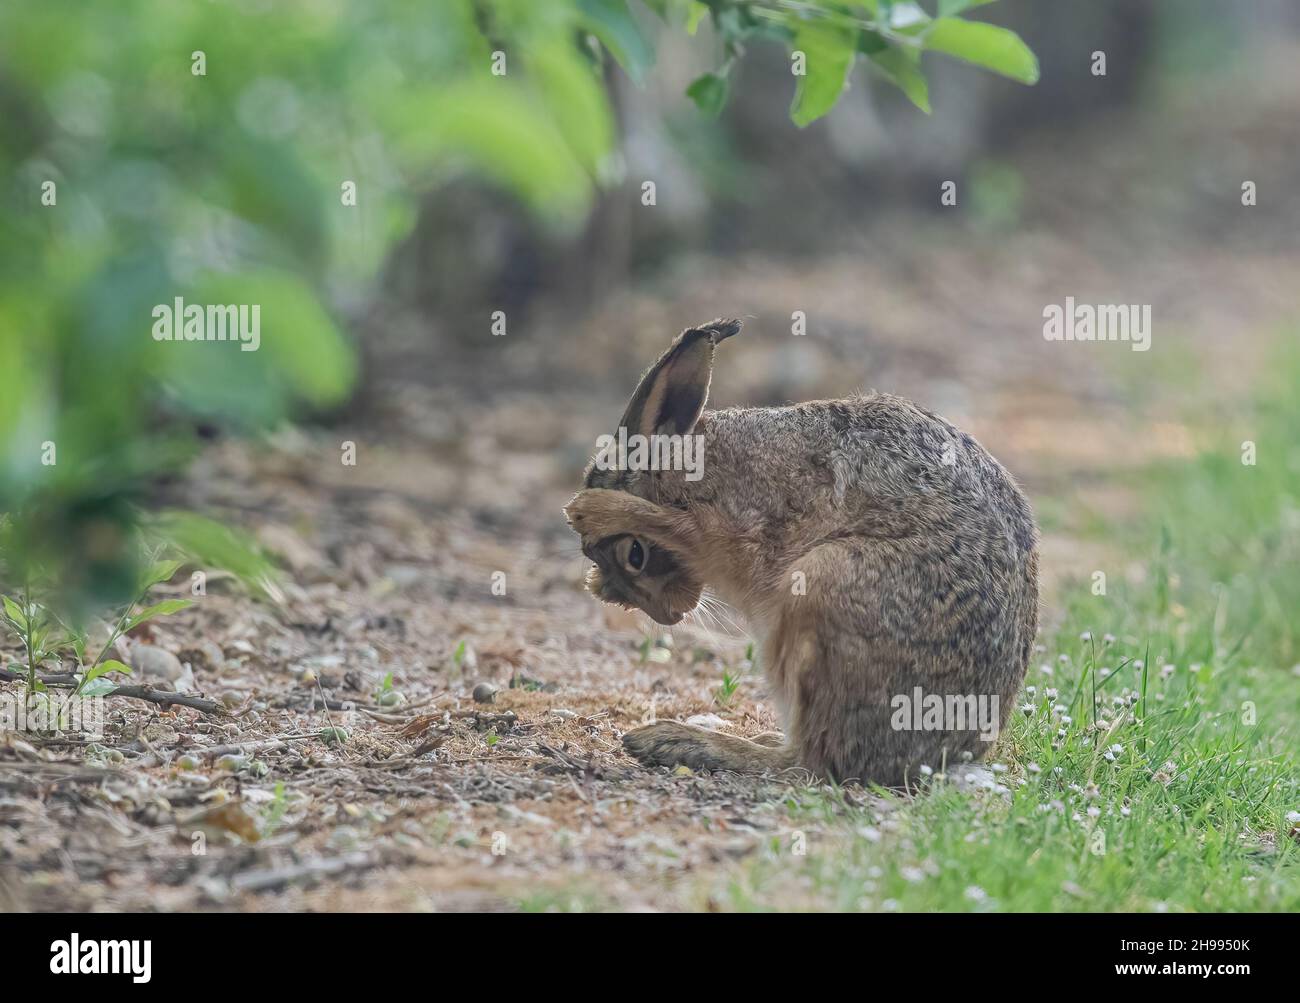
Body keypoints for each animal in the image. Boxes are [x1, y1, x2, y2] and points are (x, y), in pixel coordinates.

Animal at [564, 318, 1039, 787]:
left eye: (635, 556)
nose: (667, 616)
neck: (683, 475)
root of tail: (948, 752)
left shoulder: (727, 525)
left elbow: (675, 525)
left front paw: (588, 510)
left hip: (824, 584)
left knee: (811, 764)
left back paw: (677, 740)